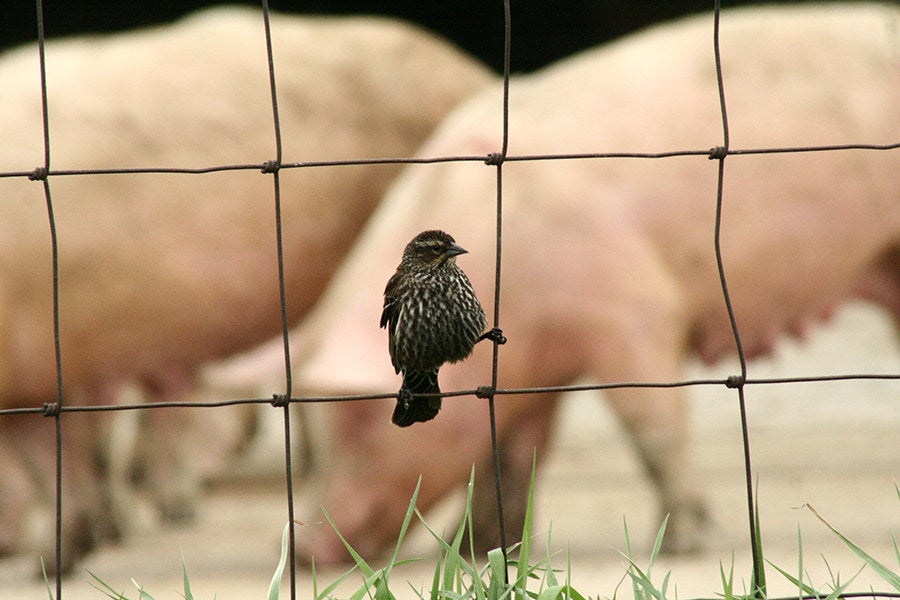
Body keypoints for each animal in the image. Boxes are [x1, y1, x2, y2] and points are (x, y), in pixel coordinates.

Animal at [282, 3, 899, 565]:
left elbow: (653, 427)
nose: (304, 546)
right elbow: (515, 449)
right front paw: (485, 551)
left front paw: (681, 546)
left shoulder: (636, 309)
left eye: (355, 420)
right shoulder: (538, 372)